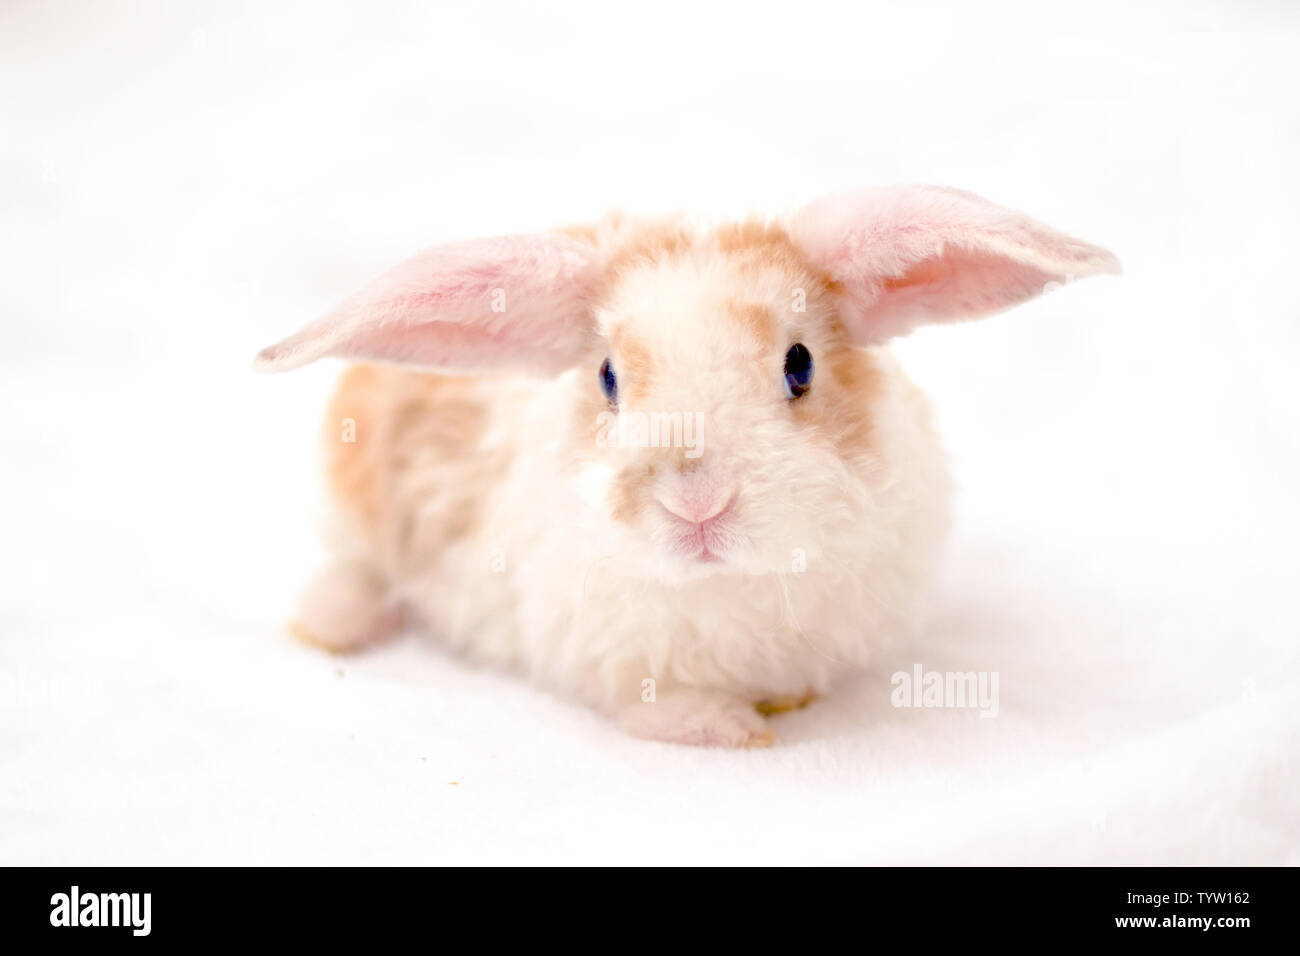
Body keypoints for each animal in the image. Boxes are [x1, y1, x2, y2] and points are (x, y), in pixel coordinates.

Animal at [256, 186, 1118, 747]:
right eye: (608, 378)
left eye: (799, 365)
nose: (698, 502)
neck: (728, 582)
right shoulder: (607, 658)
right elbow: (654, 706)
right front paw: (729, 728)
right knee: (353, 569)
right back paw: (331, 628)